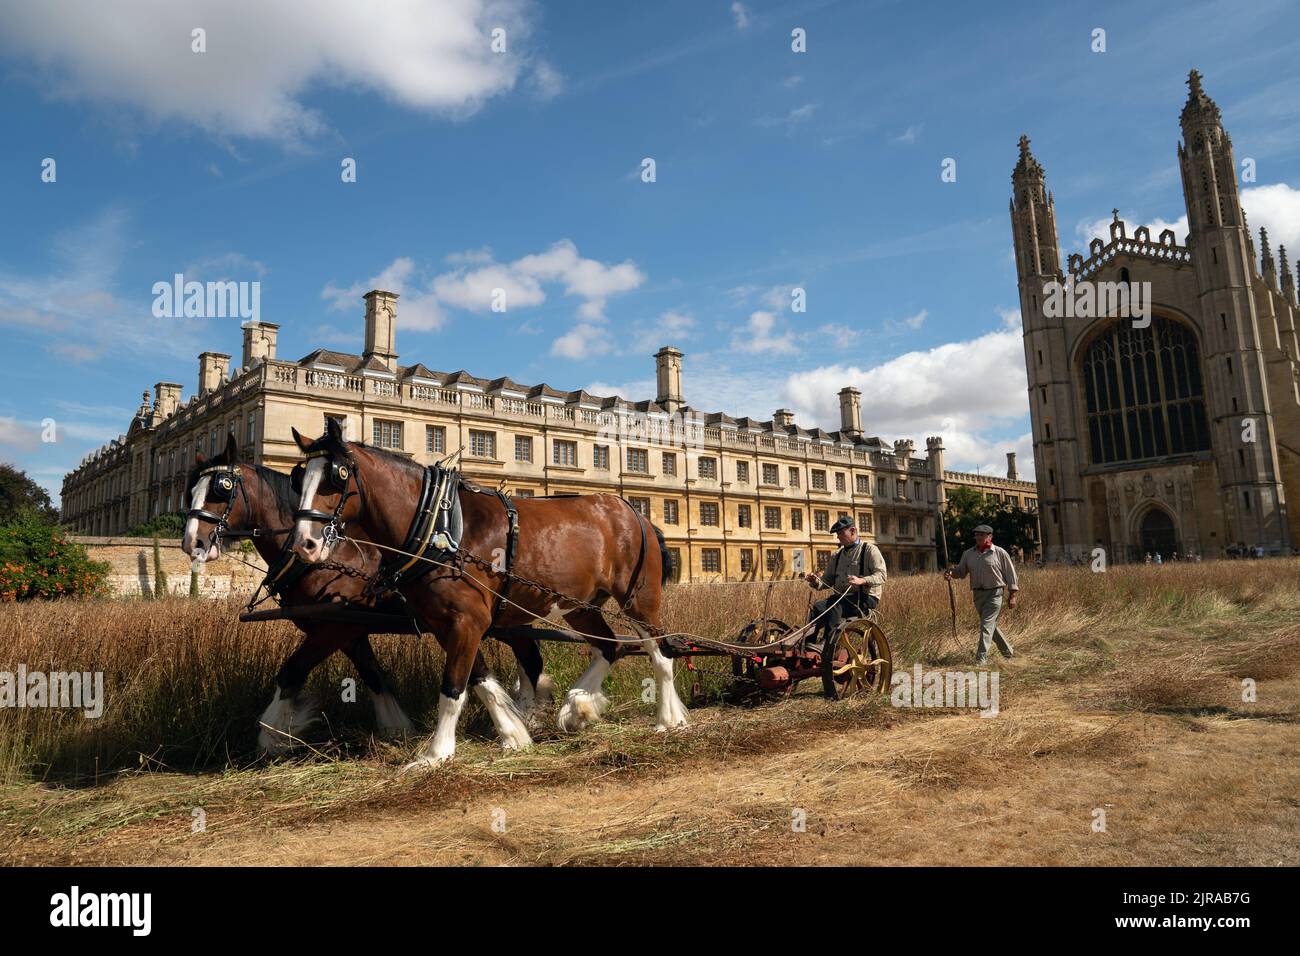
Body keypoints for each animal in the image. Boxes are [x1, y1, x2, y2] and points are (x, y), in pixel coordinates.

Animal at [182, 433, 556, 753]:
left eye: (221, 488)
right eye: (191, 490)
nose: (191, 543)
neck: (335, 557)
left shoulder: (337, 626)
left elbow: (292, 671)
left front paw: (271, 736)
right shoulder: (349, 632)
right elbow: (374, 676)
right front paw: (397, 726)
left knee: (531, 656)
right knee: (529, 655)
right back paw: (532, 712)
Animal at [287, 417, 687, 769]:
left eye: (336, 477)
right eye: (299, 478)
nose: (304, 544)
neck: (440, 529)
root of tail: (634, 512)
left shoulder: (467, 621)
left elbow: (452, 689)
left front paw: (435, 754)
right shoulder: (449, 624)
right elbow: (479, 681)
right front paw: (513, 735)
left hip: (638, 600)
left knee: (660, 654)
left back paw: (668, 720)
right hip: (580, 606)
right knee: (609, 647)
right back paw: (577, 706)